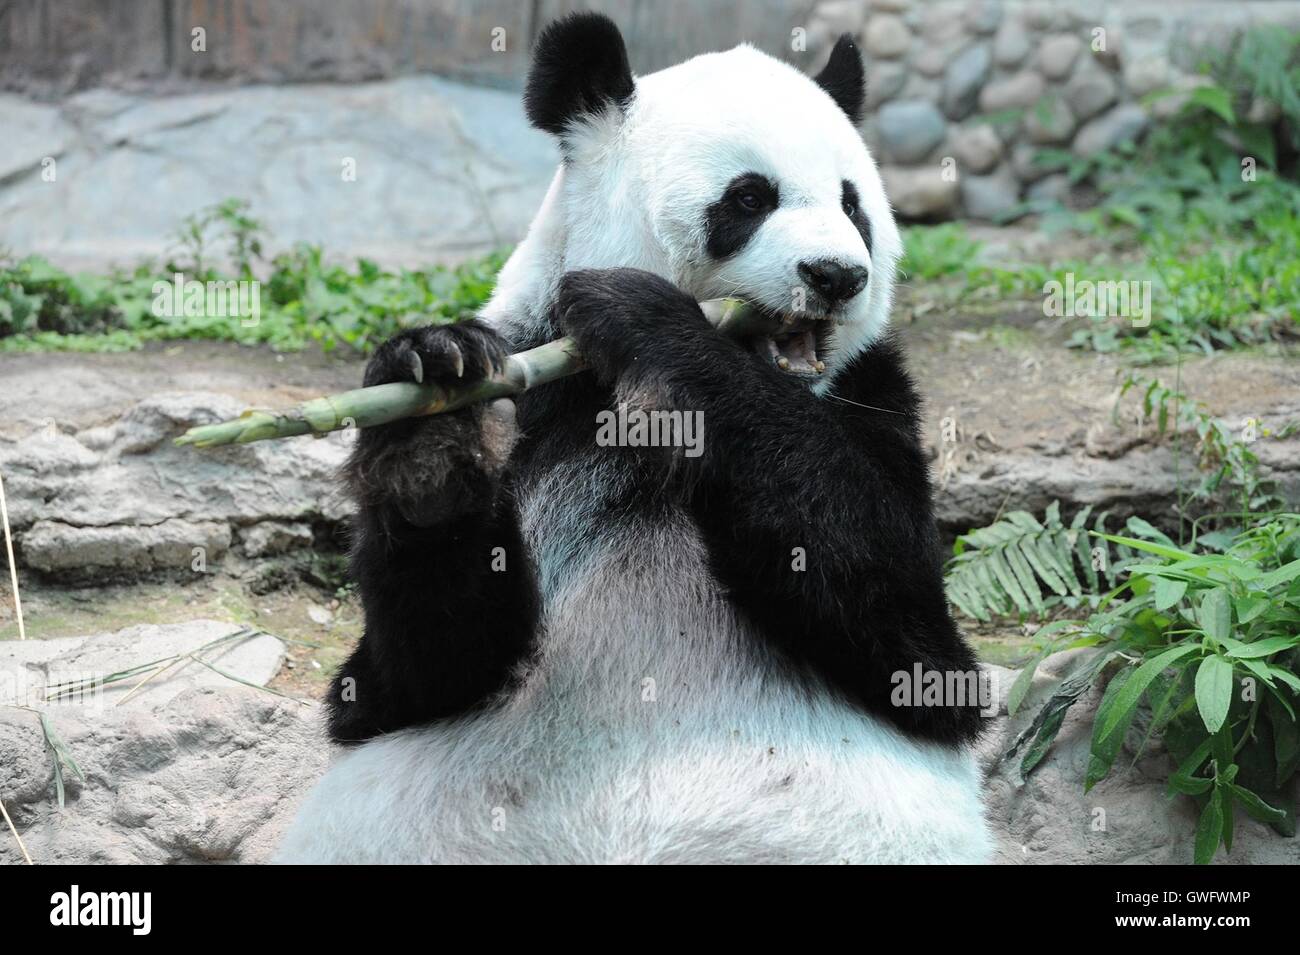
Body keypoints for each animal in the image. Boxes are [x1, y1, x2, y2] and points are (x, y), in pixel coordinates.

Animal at [276, 12, 991, 865]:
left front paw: (650, 320)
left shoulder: (872, 391)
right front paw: (431, 420)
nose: (838, 275)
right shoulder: (538, 395)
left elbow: (907, 627)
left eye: (855, 206)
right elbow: (420, 673)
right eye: (750, 197)